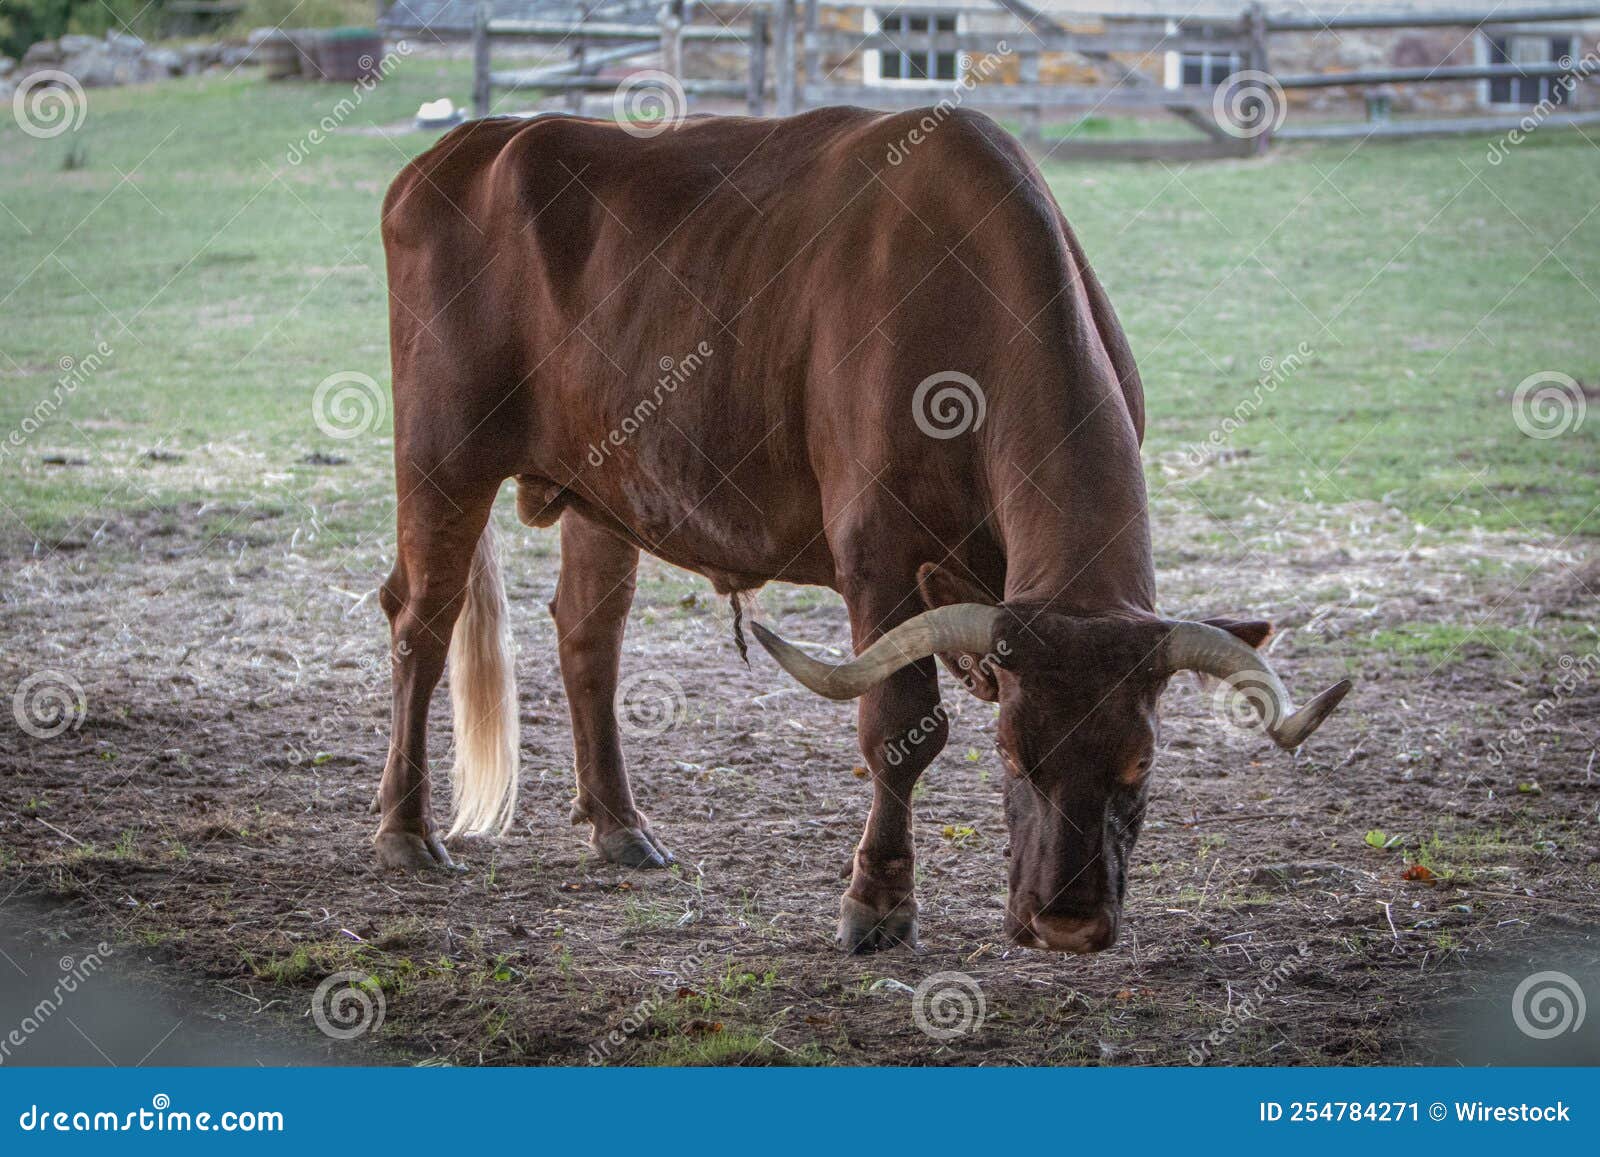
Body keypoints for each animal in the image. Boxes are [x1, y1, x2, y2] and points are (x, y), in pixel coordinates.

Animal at [373, 105, 1351, 954]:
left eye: (1141, 766)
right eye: (1013, 756)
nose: (1069, 922)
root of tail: (462, 148)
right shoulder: (878, 557)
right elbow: (900, 726)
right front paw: (877, 900)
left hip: (603, 490)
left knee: (587, 636)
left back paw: (619, 825)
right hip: (442, 460)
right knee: (422, 620)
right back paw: (406, 829)